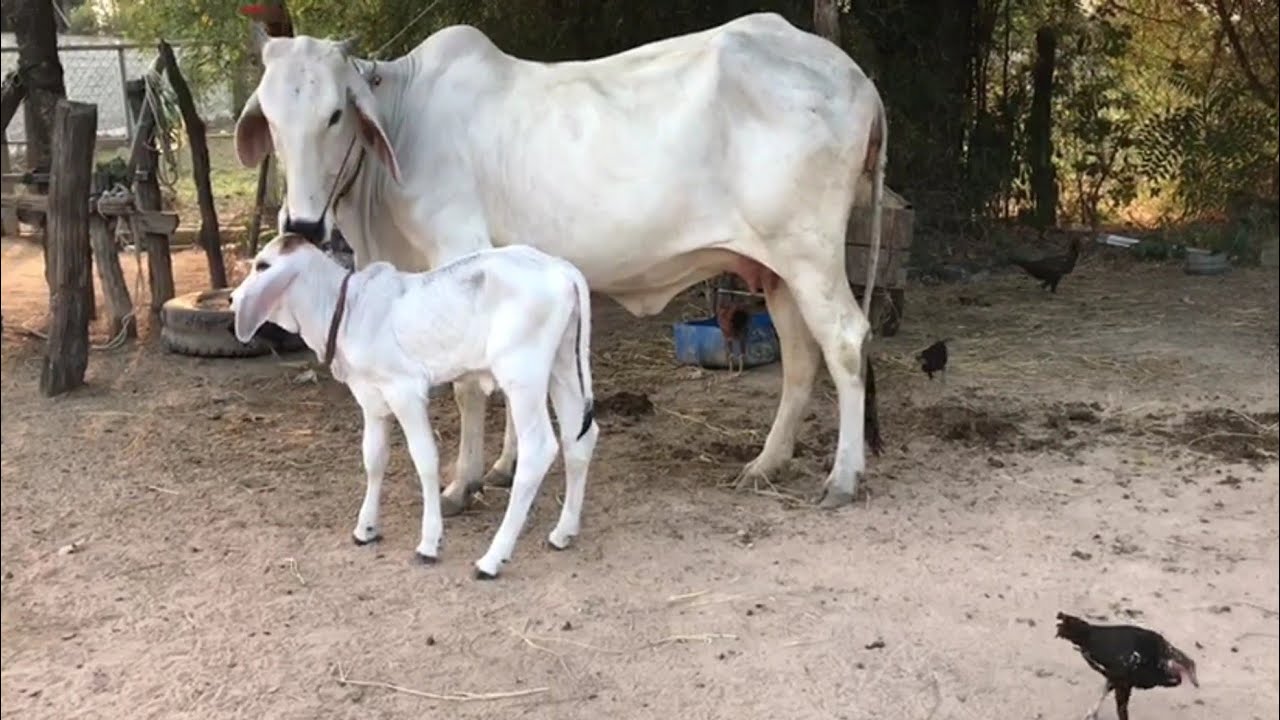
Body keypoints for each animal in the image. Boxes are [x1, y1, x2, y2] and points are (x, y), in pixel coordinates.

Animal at [234, 12, 887, 513]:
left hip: (809, 251)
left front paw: (461, 484)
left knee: (845, 341)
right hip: (775, 267)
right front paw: (504, 467)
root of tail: (856, 74)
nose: (302, 225)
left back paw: (843, 477)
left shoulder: (459, 252)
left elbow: (468, 386)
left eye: (335, 114)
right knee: (801, 358)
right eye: (270, 116)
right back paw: (766, 463)